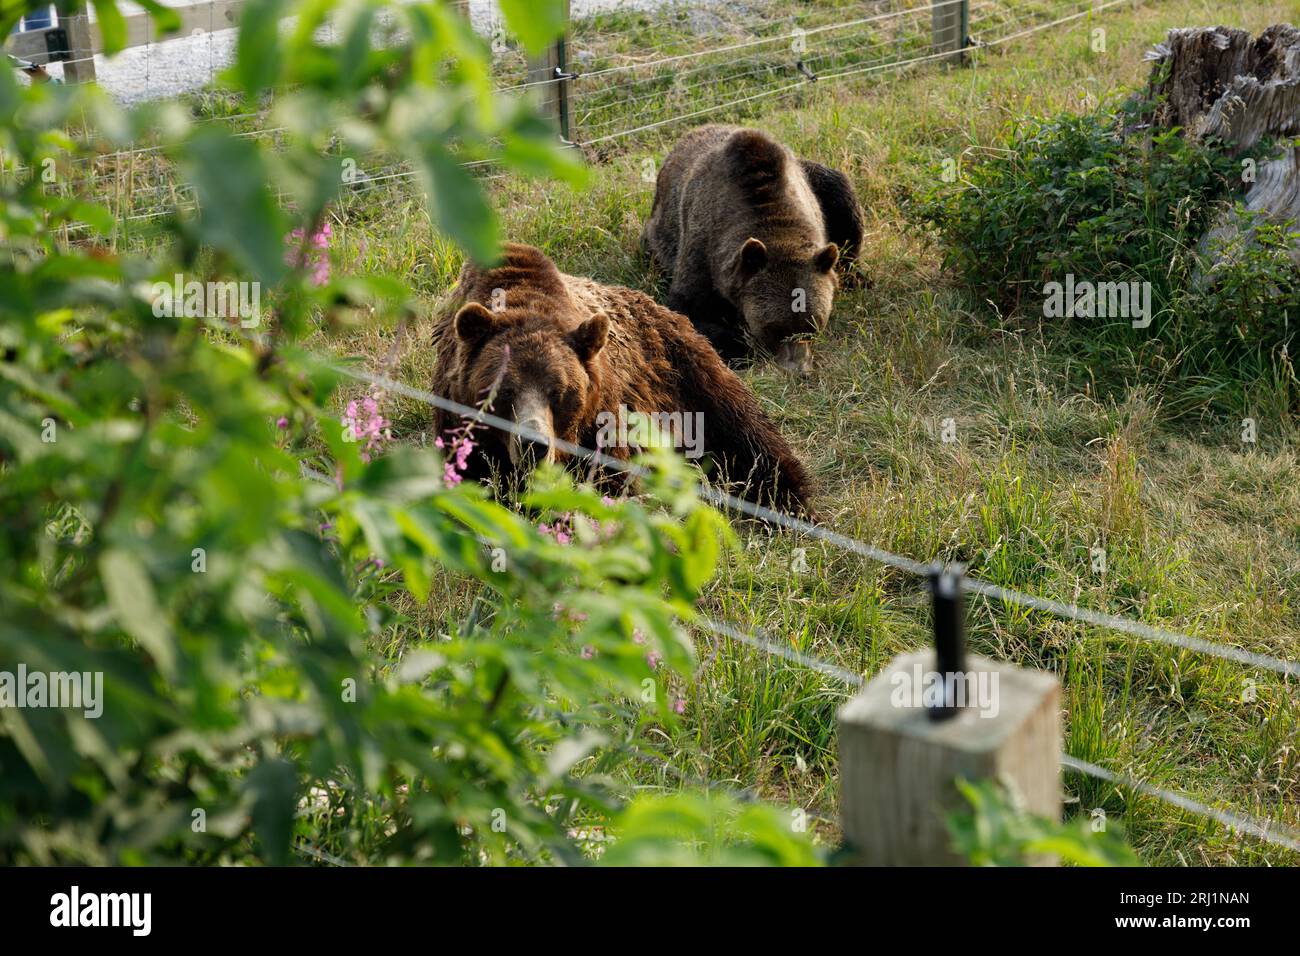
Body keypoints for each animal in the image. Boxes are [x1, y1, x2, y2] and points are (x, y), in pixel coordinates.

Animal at [429, 243, 815, 517]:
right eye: (504, 390)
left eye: (558, 391)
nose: (533, 443)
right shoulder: (458, 420)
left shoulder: (602, 420)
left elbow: (607, 483)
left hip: (685, 369)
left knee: (742, 427)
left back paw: (787, 497)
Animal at [642, 124, 864, 374]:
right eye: (773, 329)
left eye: (813, 324)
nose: (799, 370)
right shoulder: (703, 247)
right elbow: (689, 307)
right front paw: (739, 344)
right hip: (658, 235)